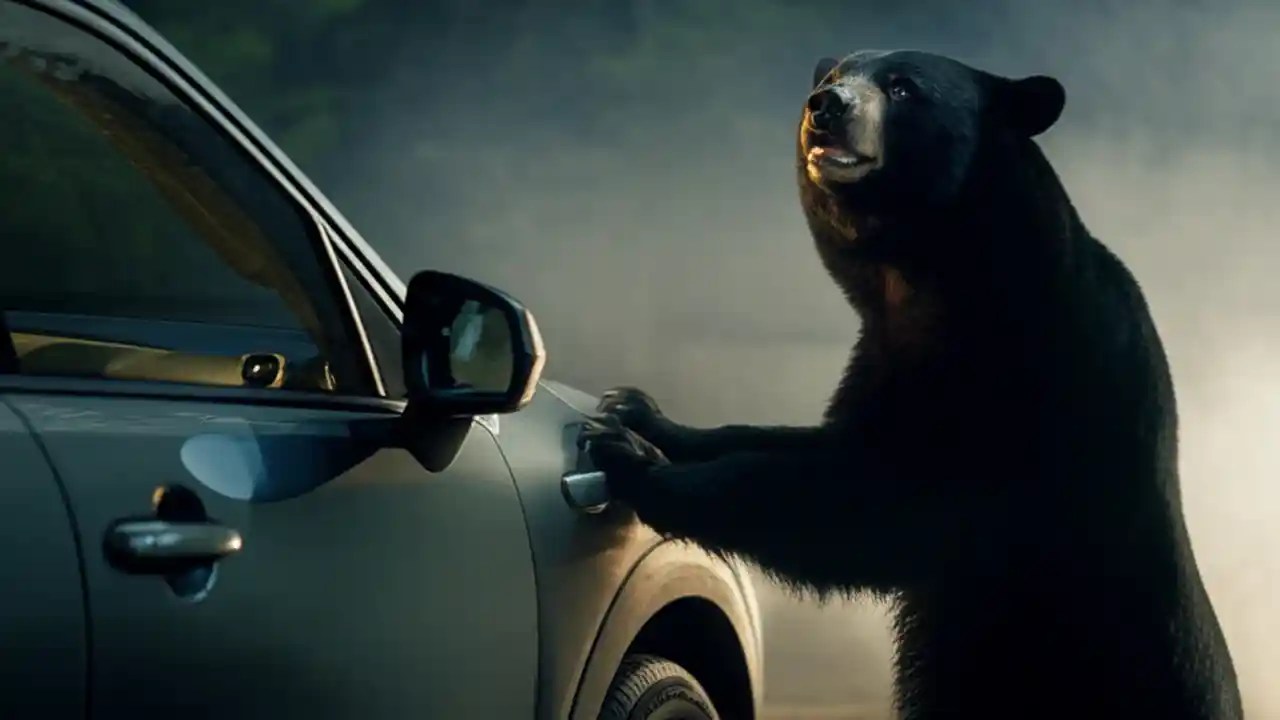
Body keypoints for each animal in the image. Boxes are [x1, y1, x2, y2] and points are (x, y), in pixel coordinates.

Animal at [581, 50, 1244, 720]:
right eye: (831, 77)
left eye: (903, 88)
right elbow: (829, 442)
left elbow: (890, 505)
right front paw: (642, 414)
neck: (933, 277)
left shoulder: (1036, 380)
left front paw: (638, 463)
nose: (826, 106)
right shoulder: (887, 356)